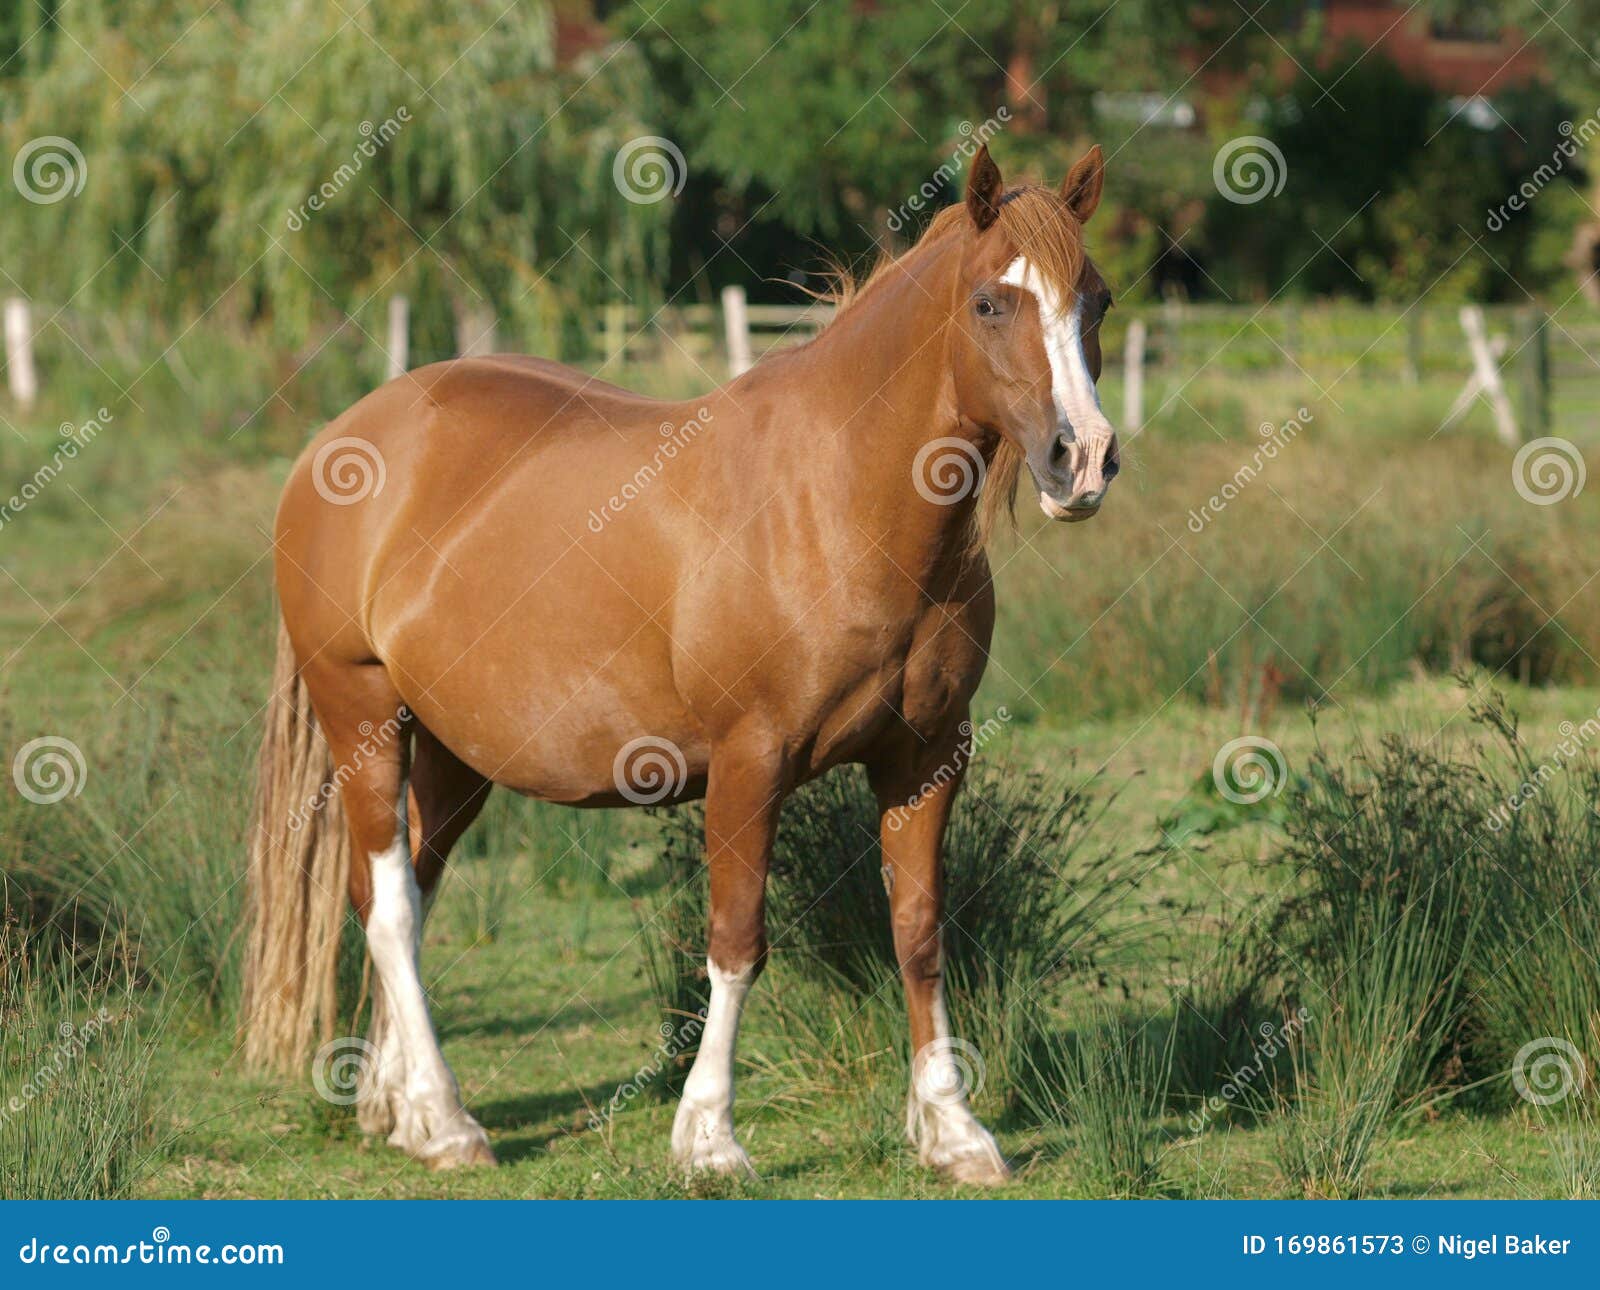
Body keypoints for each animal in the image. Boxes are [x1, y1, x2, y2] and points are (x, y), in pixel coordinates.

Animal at [240, 141, 1119, 1186]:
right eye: (990, 302)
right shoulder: (749, 762)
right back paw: (449, 1123)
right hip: (363, 718)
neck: (838, 499)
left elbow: (919, 934)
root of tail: (338, 445)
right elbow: (736, 943)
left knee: (408, 886)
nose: (1083, 460)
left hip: (455, 752)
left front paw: (954, 1131)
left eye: (1098, 299)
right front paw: (709, 1136)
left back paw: (397, 1106)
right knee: (390, 910)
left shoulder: (926, 759)